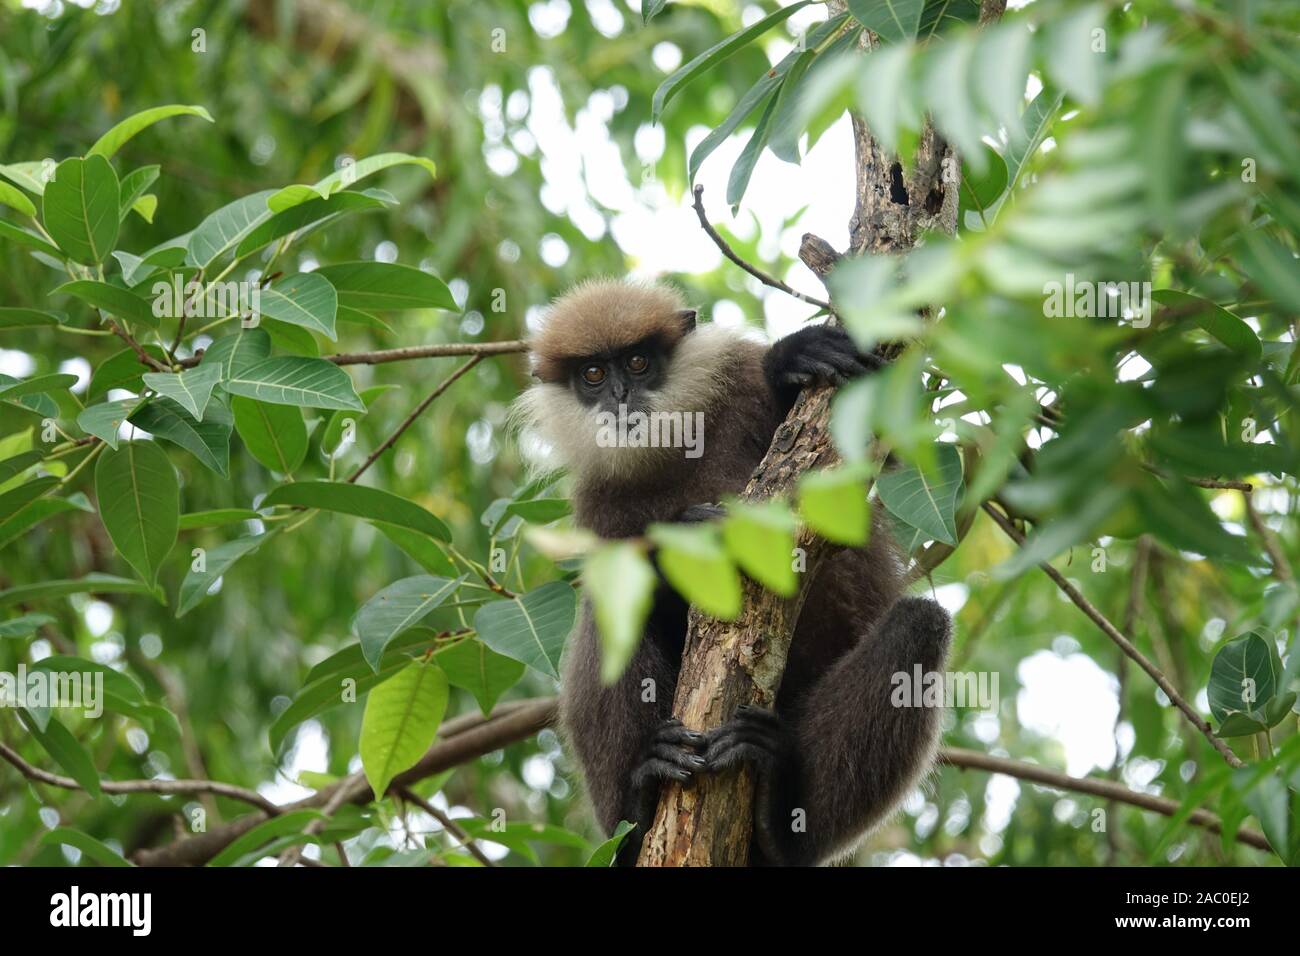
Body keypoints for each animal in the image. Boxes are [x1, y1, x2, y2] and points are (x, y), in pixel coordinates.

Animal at [514, 279, 952, 866]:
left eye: (637, 362)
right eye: (593, 375)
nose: (620, 398)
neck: (671, 449)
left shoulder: (740, 382)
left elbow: (885, 461)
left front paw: (790, 361)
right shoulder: (596, 501)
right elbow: (620, 587)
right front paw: (687, 536)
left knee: (920, 625)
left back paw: (778, 822)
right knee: (608, 616)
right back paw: (639, 808)